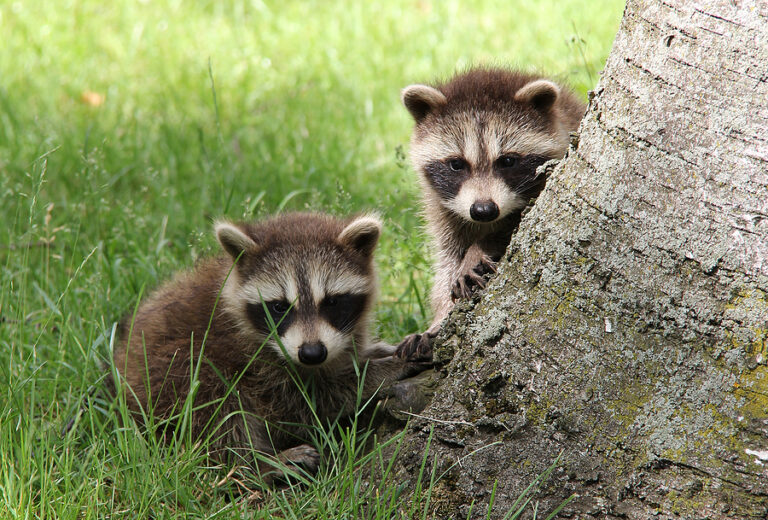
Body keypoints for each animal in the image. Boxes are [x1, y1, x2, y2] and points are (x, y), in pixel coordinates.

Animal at [113, 212, 420, 483]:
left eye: (332, 302)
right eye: (279, 307)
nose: (311, 353)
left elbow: (346, 361)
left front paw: (383, 352)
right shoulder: (248, 357)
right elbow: (307, 401)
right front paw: (380, 372)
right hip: (165, 379)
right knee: (215, 403)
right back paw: (256, 466)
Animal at [397, 68, 585, 356]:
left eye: (507, 161)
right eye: (456, 164)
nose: (483, 210)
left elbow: (513, 227)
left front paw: (479, 249)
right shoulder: (441, 208)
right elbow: (447, 259)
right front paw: (439, 319)